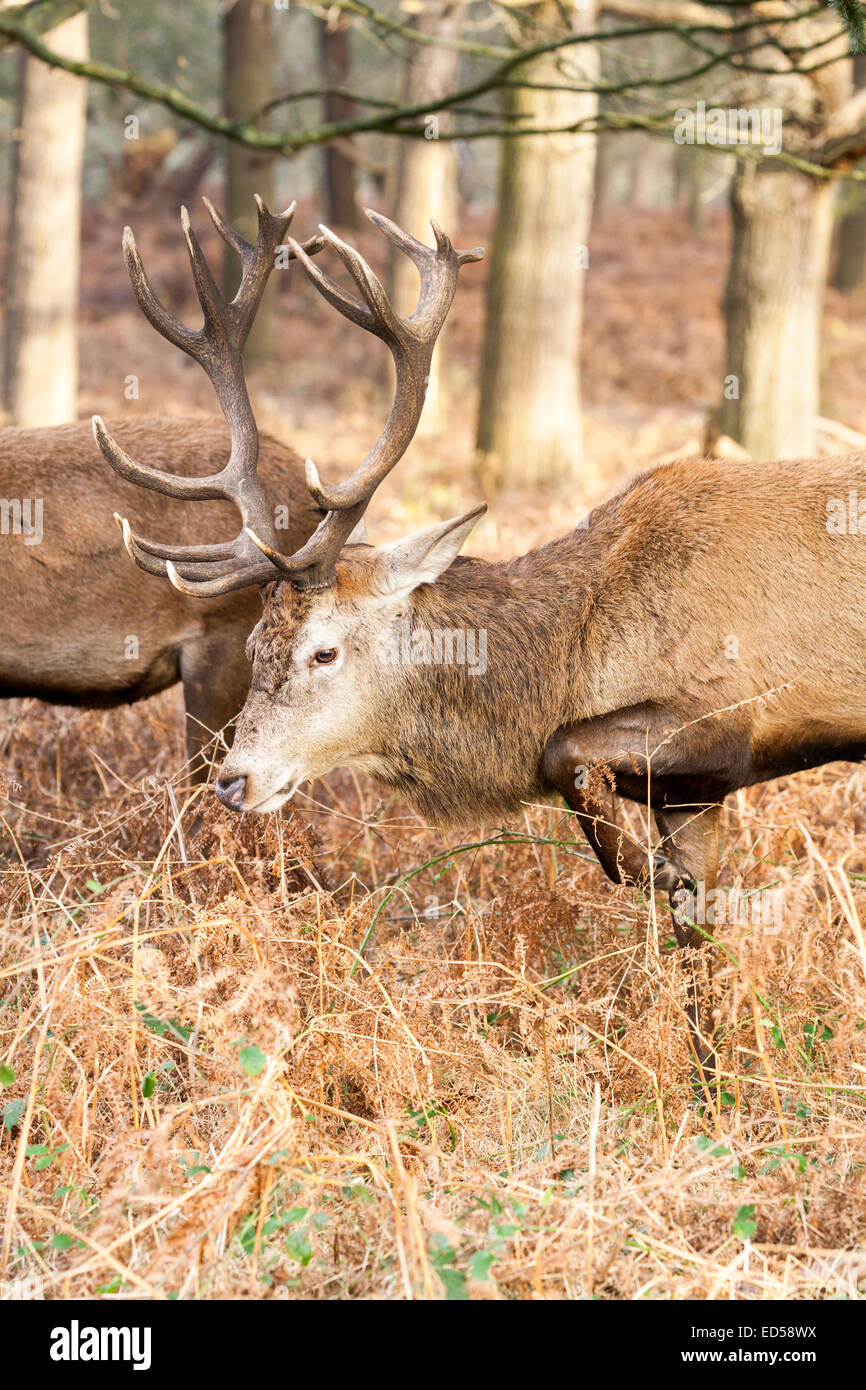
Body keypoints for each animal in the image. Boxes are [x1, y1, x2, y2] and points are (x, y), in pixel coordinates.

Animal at [94, 196, 866, 1069]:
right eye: (255, 648)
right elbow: (699, 946)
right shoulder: (695, 791)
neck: (574, 653)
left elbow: (564, 750)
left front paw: (639, 871)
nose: (232, 781)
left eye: (324, 650)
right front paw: (714, 1078)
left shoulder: (731, 712)